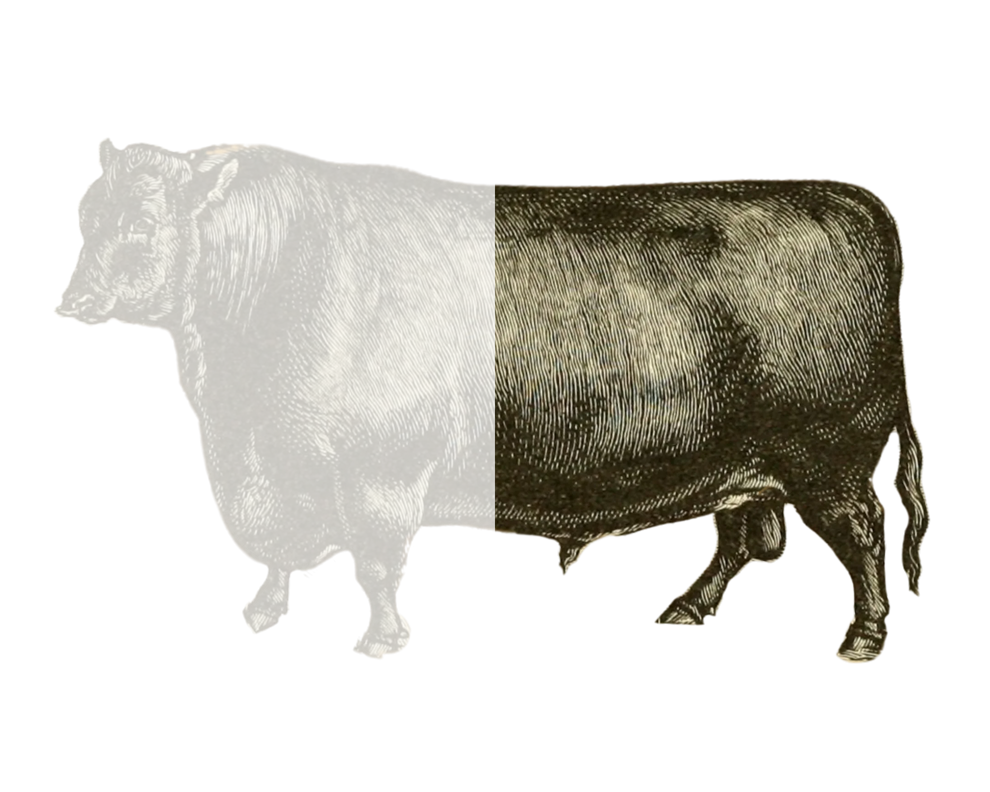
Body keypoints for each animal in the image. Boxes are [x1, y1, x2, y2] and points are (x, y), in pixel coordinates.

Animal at [53, 137, 932, 665]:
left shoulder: (380, 471)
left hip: (828, 455)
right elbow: (273, 552)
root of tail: (850, 199)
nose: (73, 301)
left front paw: (381, 641)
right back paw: (686, 608)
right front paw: (262, 613)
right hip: (742, 465)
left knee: (863, 536)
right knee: (745, 537)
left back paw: (862, 639)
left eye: (143, 222)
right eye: (84, 213)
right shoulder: (268, 465)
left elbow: (376, 560)